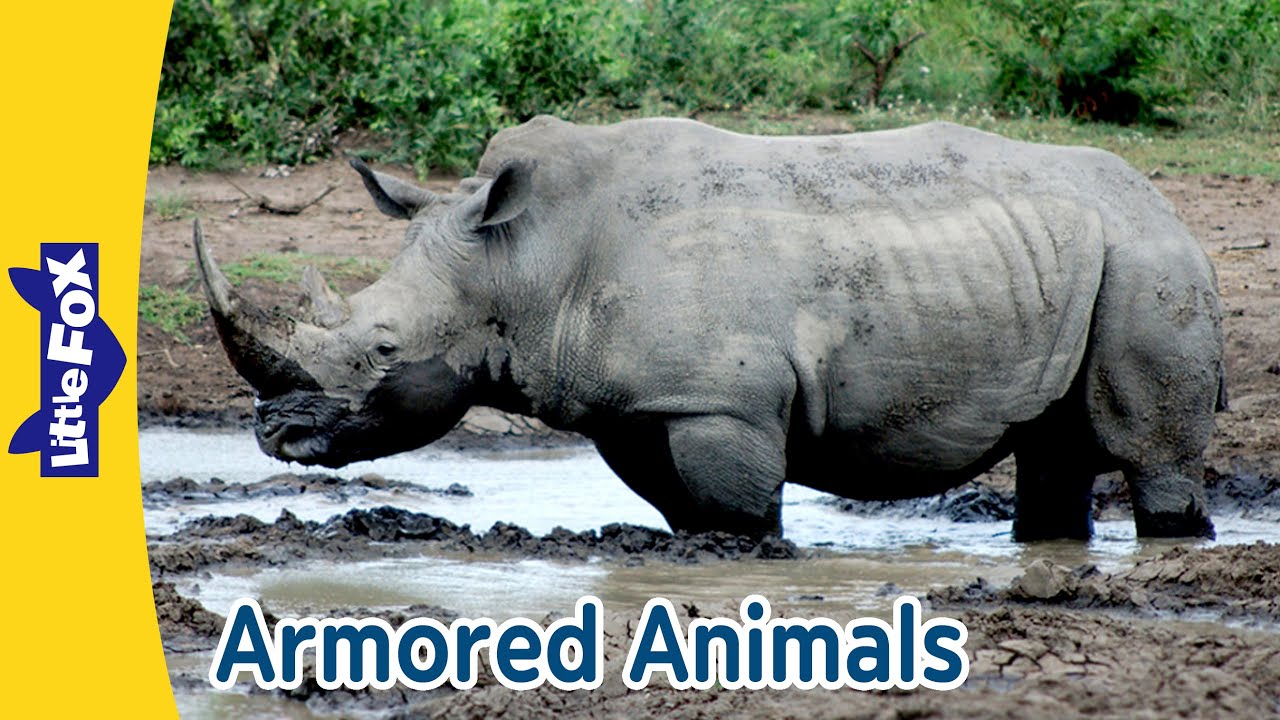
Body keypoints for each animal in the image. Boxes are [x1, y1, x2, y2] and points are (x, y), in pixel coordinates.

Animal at [194, 116, 1225, 542]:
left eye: (383, 351)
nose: (273, 433)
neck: (525, 260)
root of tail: (1170, 207)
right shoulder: (642, 402)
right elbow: (691, 510)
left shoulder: (719, 402)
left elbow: (736, 512)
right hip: (1073, 259)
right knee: (1051, 448)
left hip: (1149, 266)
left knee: (1153, 449)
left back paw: (1170, 534)